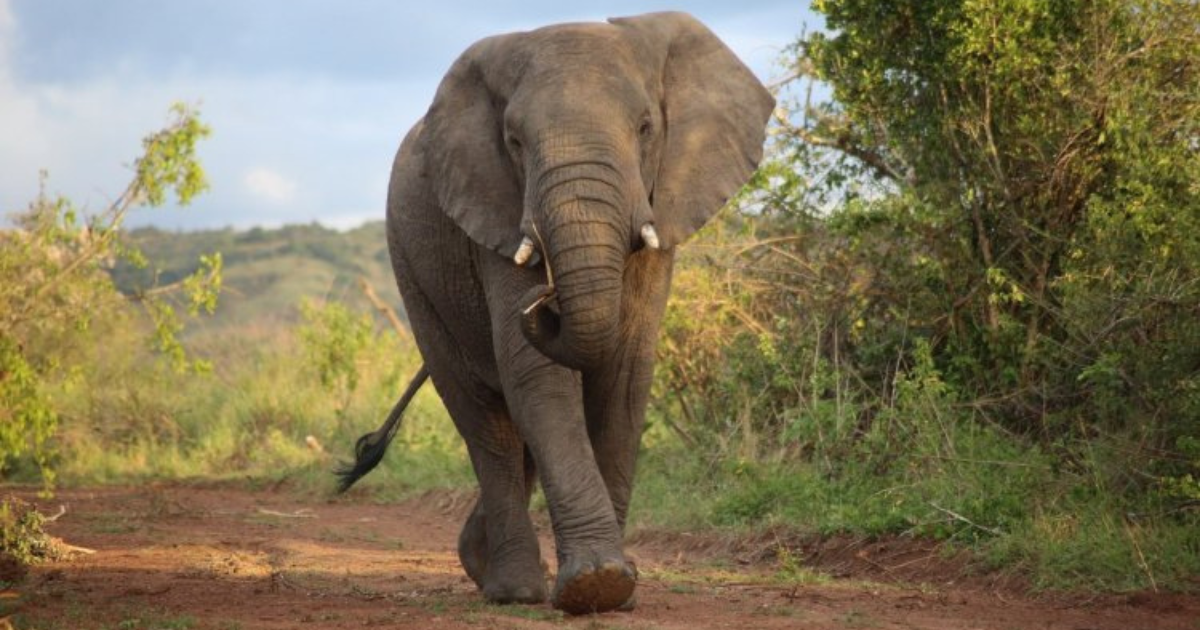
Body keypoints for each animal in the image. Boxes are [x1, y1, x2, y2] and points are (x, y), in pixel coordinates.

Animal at [336, 11, 773, 614]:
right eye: (515, 142)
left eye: (645, 128)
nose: (546, 300)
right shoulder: (494, 206)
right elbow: (540, 377)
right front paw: (596, 584)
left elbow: (625, 375)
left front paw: (614, 589)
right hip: (412, 271)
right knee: (485, 421)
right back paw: (515, 590)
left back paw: (491, 565)